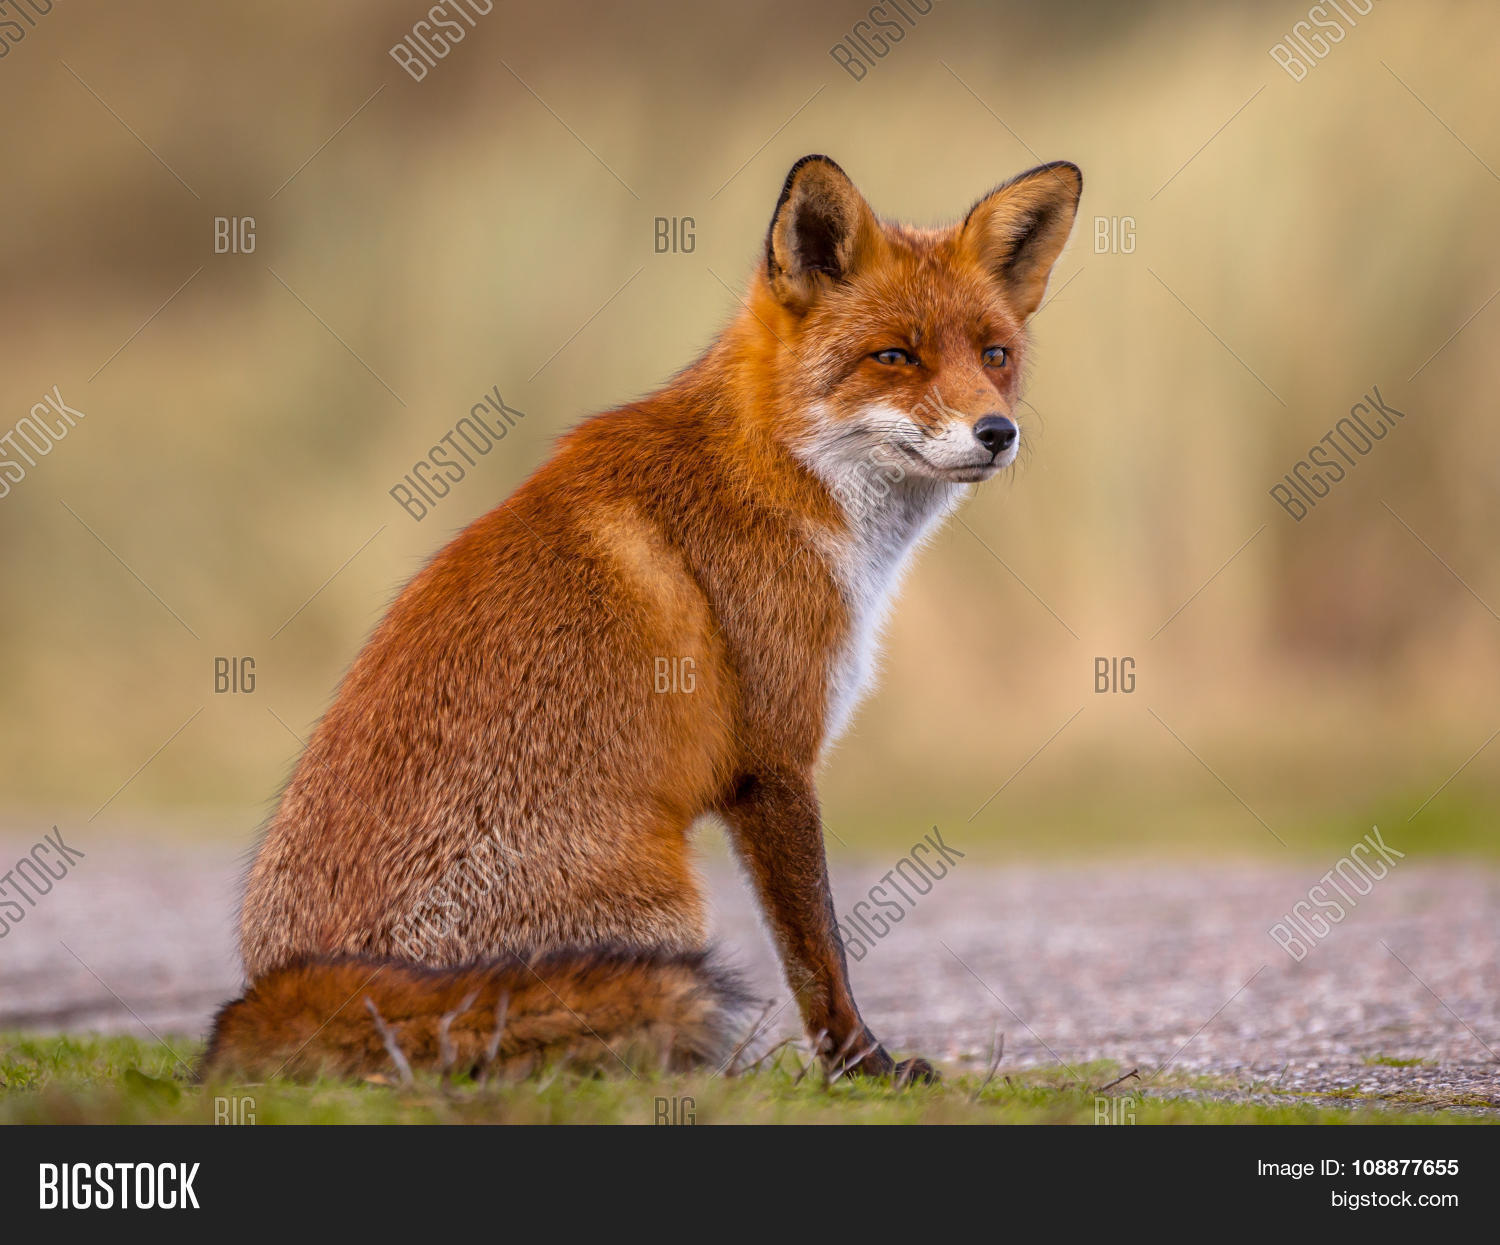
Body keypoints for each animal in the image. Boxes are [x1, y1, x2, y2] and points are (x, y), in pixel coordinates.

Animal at [203, 154, 1081, 1085]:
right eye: (895, 356)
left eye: (994, 355)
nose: (997, 431)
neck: (777, 470)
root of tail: (296, 984)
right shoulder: (772, 762)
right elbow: (819, 953)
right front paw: (860, 1067)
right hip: (670, 909)